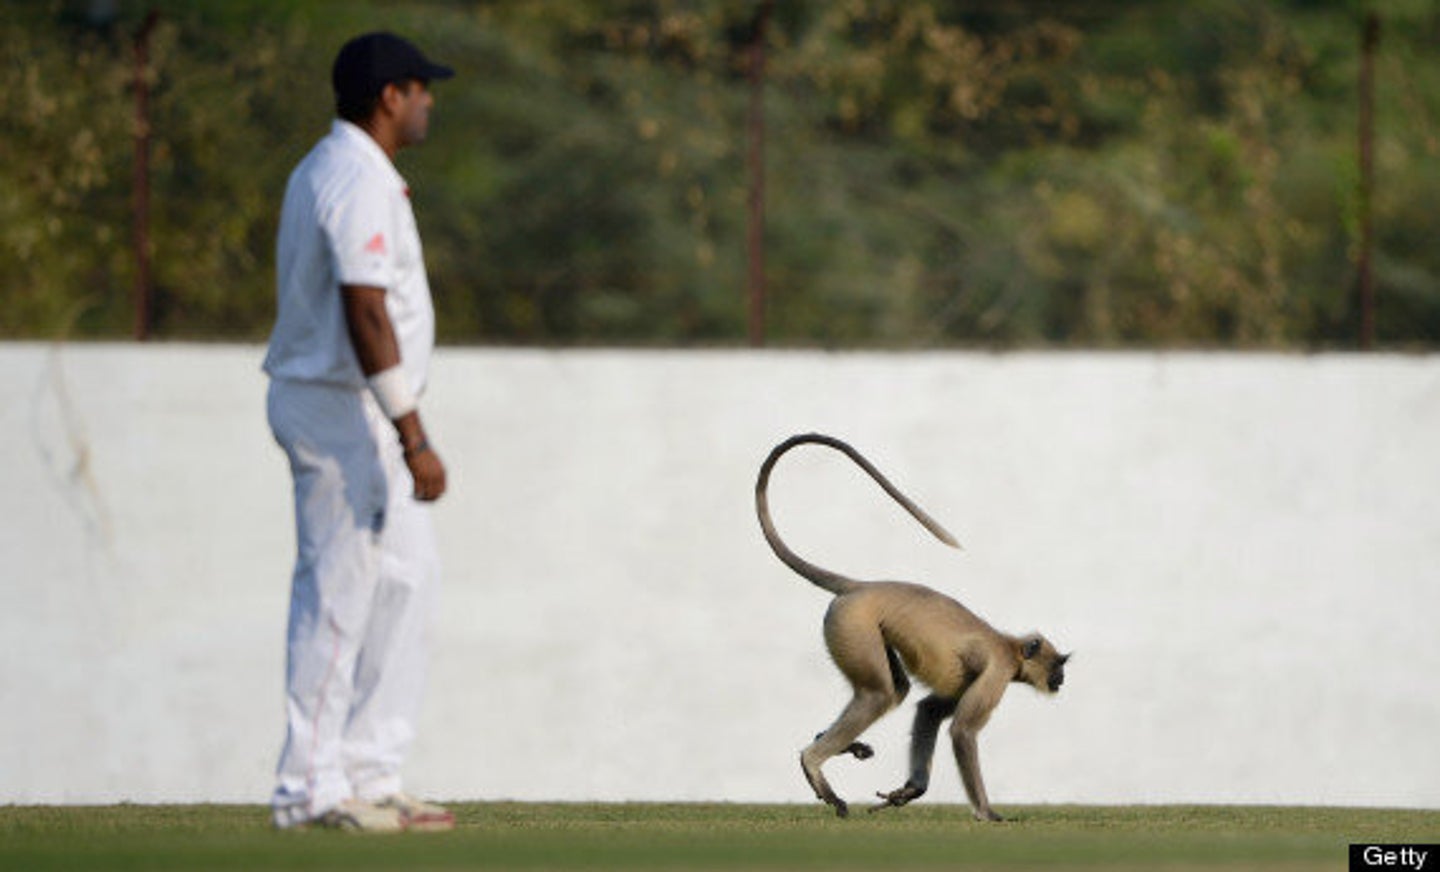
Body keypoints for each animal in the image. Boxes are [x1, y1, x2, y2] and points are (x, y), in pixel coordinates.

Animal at [755, 433, 1068, 821]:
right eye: (1057, 665)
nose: (1061, 679)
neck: (1008, 645)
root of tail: (860, 586)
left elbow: (929, 710)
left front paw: (911, 791)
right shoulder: (998, 669)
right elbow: (962, 731)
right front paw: (987, 813)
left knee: (897, 690)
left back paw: (828, 744)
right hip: (853, 624)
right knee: (879, 694)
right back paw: (813, 762)